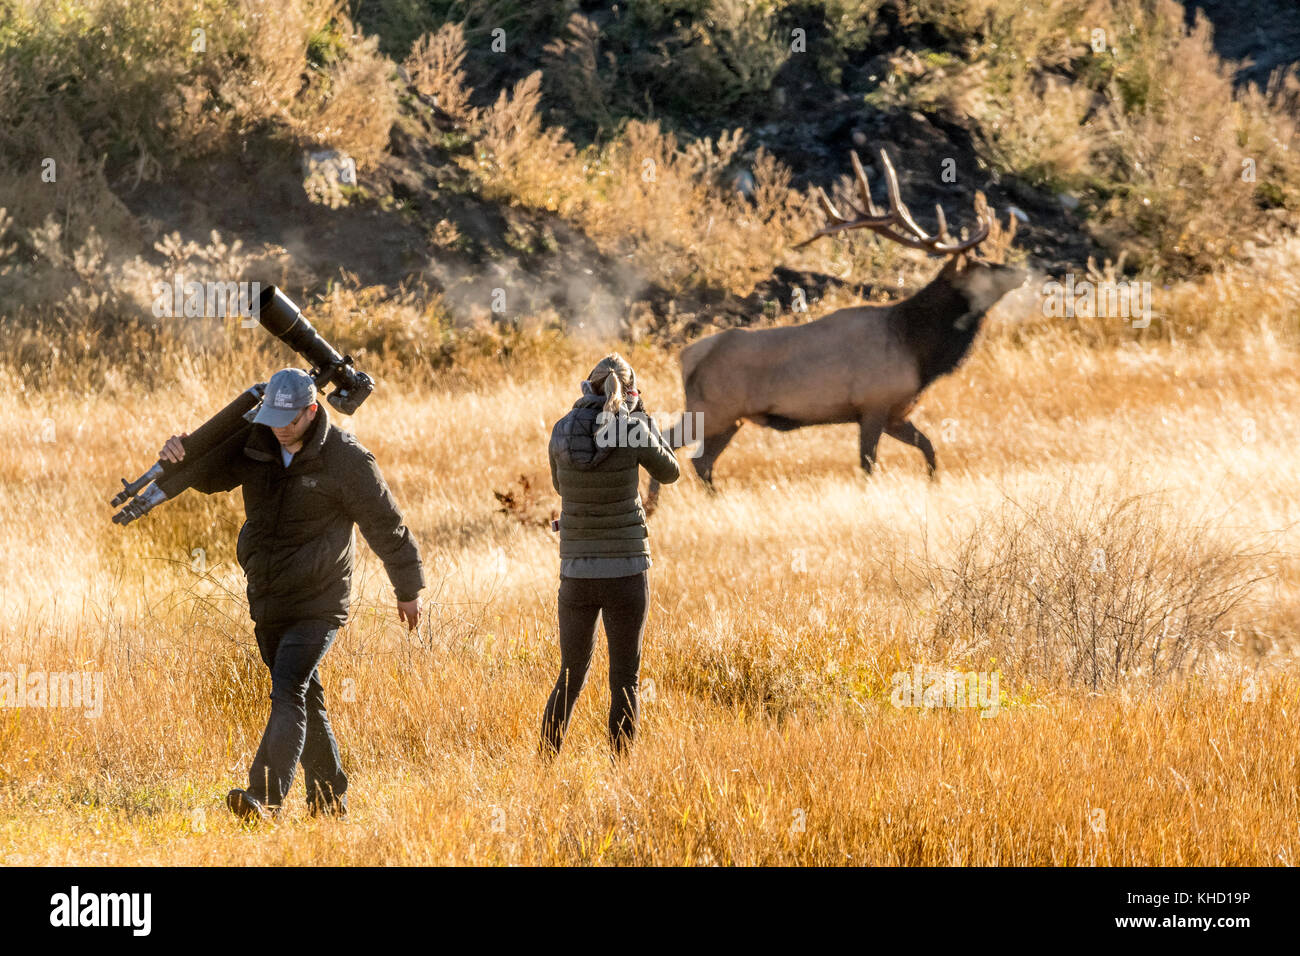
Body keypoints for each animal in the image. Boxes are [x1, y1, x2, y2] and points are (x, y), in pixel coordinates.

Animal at [647, 148, 1027, 502]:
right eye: (982, 265)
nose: (1021, 272)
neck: (918, 350)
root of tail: (686, 358)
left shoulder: (896, 412)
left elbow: (929, 448)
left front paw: (934, 485)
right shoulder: (873, 404)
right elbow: (868, 464)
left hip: (730, 418)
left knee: (702, 461)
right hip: (711, 408)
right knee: (673, 443)